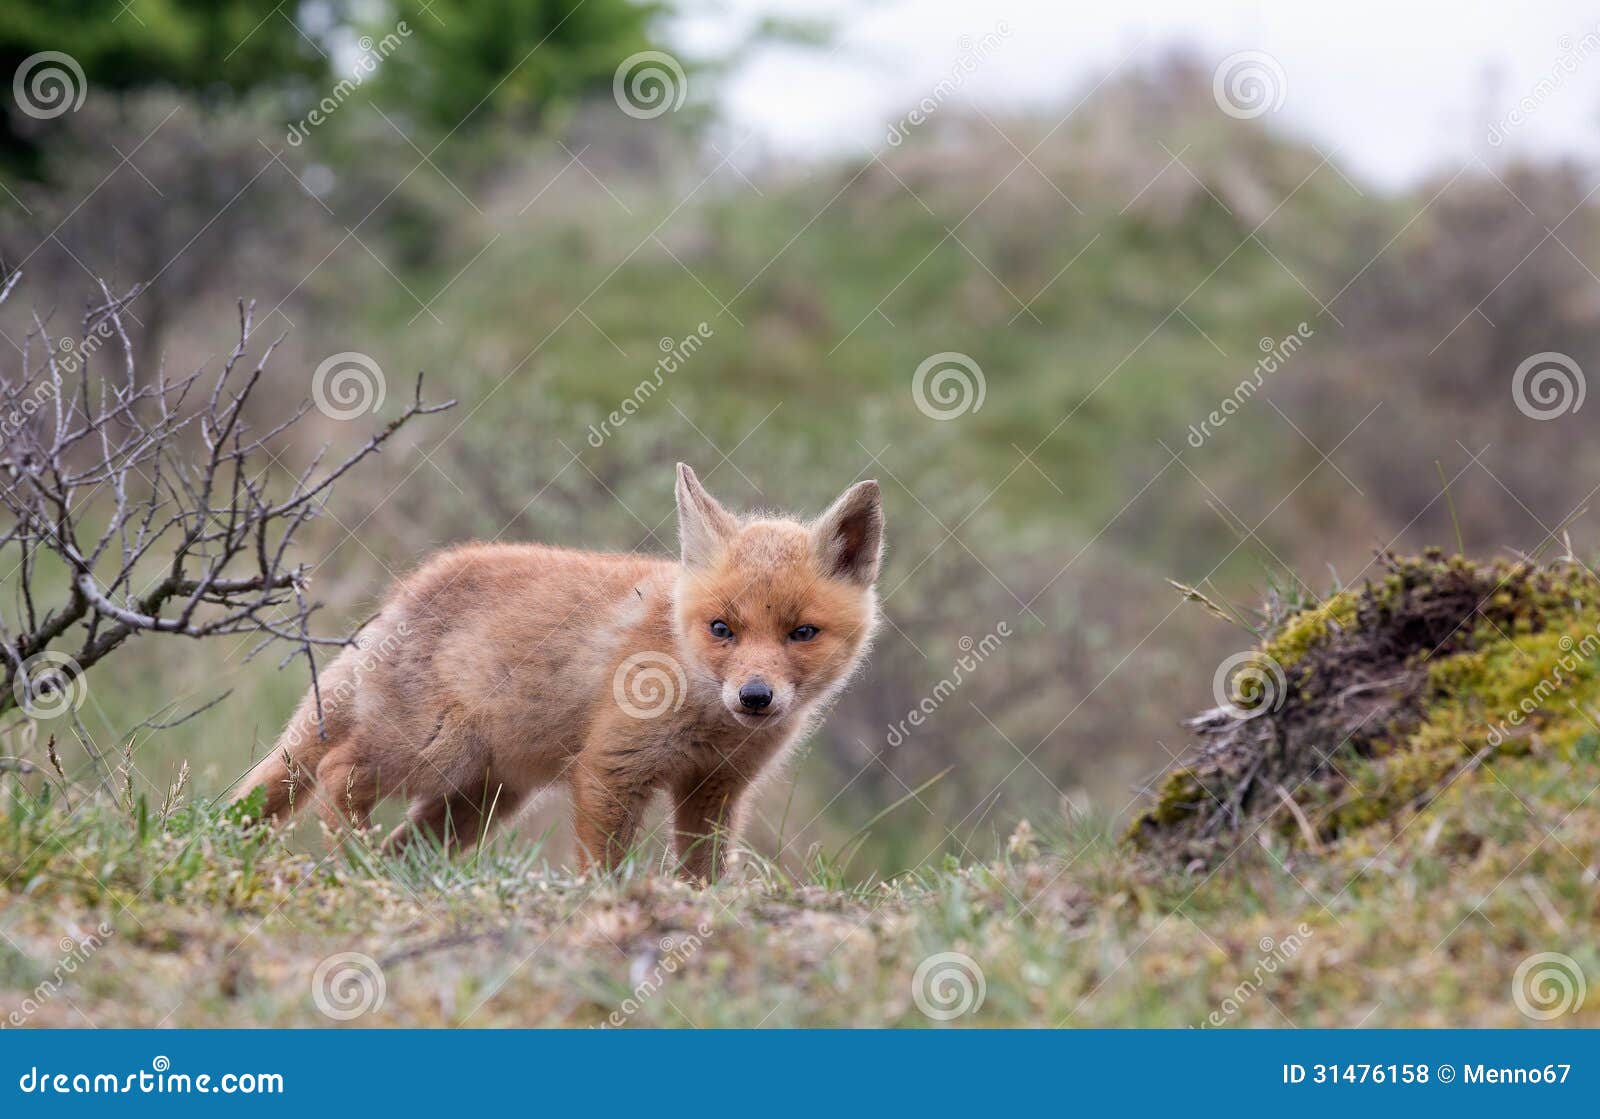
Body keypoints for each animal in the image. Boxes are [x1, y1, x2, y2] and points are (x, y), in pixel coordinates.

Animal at [233, 463, 884, 882]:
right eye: (722, 628)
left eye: (802, 633)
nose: (754, 696)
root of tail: (403, 595)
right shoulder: (611, 768)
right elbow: (603, 867)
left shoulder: (715, 789)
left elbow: (703, 874)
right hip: (434, 755)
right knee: (336, 772)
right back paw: (356, 864)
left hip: (482, 800)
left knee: (402, 844)